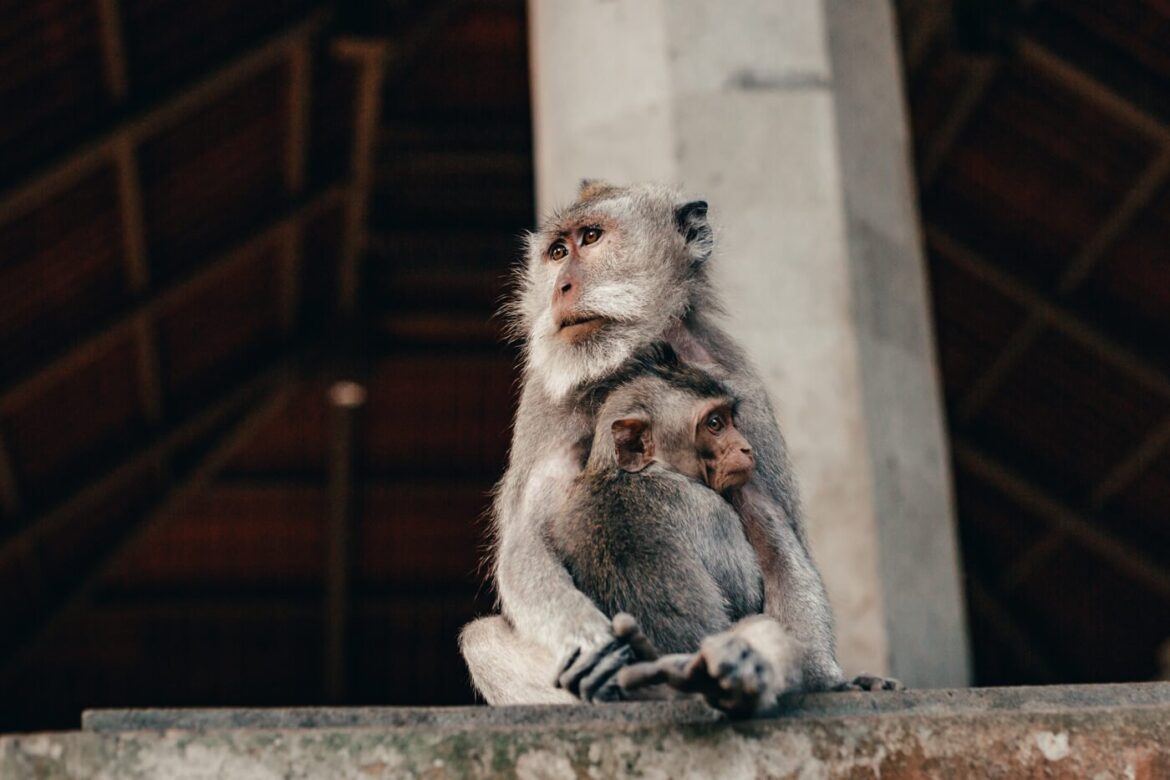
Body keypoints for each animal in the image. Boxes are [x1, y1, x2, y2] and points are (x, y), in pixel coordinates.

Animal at [459, 182, 897, 712]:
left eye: (591, 237)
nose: (560, 286)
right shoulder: (549, 402)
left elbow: (777, 537)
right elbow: (524, 544)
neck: (635, 355)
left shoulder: (739, 389)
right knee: (482, 639)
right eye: (557, 252)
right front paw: (590, 641)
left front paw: (806, 674)